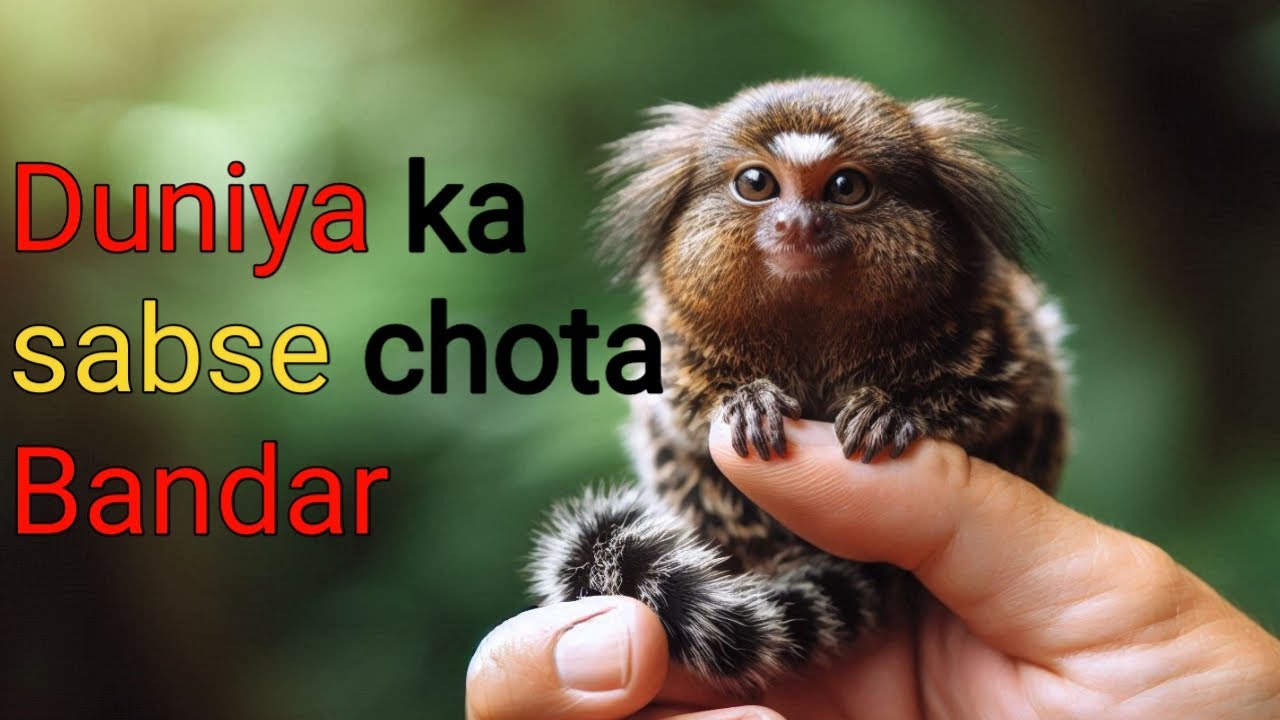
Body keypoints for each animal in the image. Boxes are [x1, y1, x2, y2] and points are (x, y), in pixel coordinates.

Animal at [528, 77, 1069, 695]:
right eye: (756, 184)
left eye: (845, 187)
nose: (797, 224)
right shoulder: (677, 334)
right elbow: (679, 403)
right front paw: (746, 402)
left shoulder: (995, 325)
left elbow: (1010, 388)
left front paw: (891, 410)